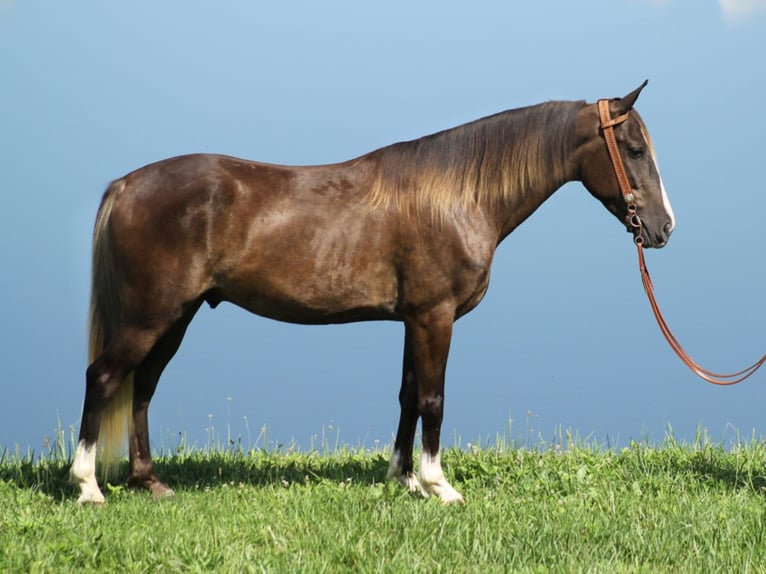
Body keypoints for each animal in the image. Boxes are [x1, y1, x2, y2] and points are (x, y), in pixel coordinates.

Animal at [71, 81, 675, 504]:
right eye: (633, 148)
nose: (664, 227)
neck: (456, 196)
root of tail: (128, 184)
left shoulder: (413, 319)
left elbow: (408, 395)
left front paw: (403, 479)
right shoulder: (435, 316)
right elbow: (433, 398)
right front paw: (439, 486)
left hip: (176, 316)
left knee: (143, 386)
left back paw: (150, 482)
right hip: (151, 316)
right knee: (104, 378)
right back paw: (88, 486)